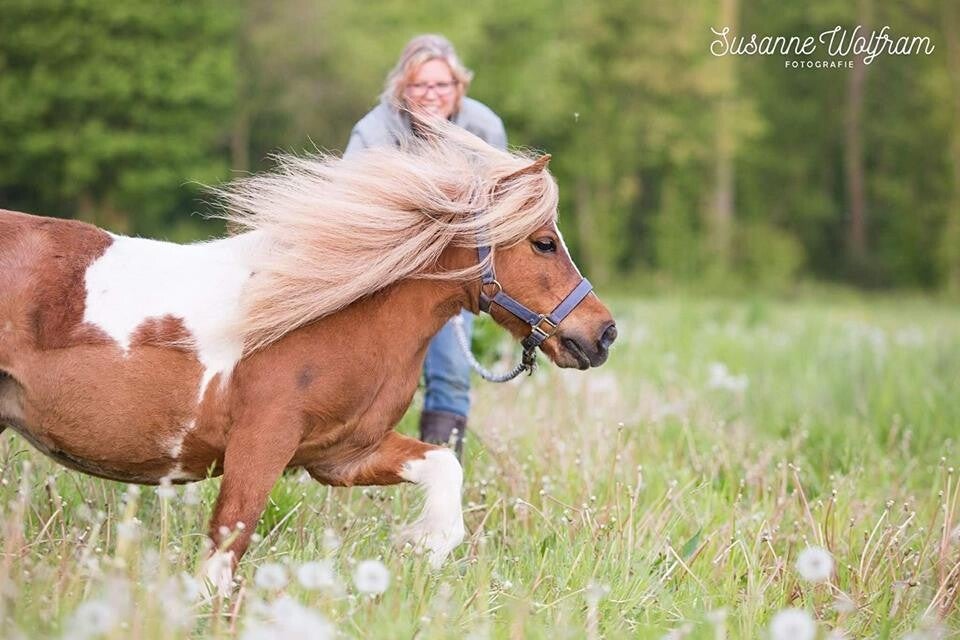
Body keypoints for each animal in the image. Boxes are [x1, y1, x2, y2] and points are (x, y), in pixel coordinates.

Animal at [0, 119, 616, 593]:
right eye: (543, 242)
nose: (603, 333)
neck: (322, 309)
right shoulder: (261, 445)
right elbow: (222, 558)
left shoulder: (342, 456)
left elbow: (444, 466)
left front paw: (423, 548)